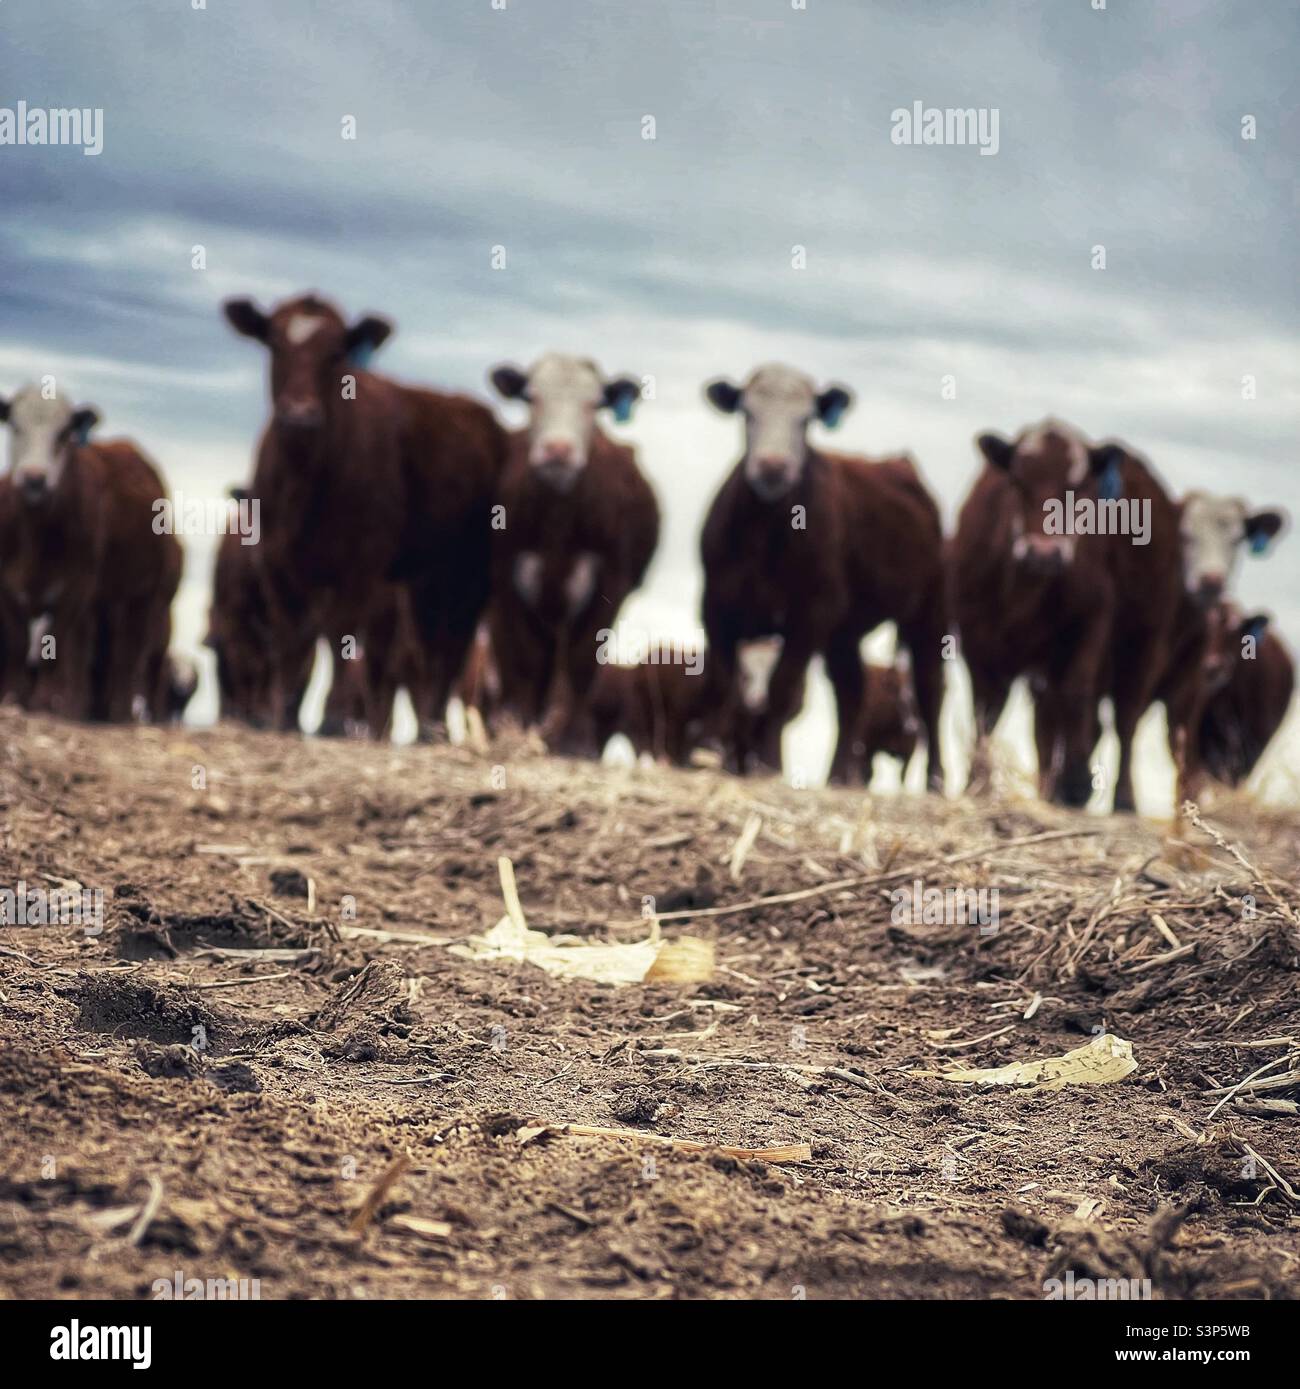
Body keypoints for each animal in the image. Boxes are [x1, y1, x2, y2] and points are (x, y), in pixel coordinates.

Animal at [0, 386, 182, 723]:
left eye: (63, 434)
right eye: (15, 426)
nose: (34, 478)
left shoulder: (76, 589)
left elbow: (56, 649)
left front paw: (45, 705)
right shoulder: (8, 587)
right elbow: (19, 643)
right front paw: (12, 699)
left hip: (140, 600)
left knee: (126, 659)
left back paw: (117, 714)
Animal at [222, 292, 507, 739]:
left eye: (336, 353)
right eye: (274, 344)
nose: (299, 414)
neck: (306, 480)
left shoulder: (361, 565)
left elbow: (341, 635)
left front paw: (333, 719)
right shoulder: (277, 562)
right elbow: (292, 641)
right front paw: (283, 717)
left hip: (469, 574)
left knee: (452, 644)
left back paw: (432, 725)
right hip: (425, 578)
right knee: (429, 641)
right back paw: (428, 725)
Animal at [486, 354, 660, 753]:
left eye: (593, 403)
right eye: (532, 397)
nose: (559, 450)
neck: (558, 523)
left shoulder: (608, 580)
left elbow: (582, 661)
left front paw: (574, 743)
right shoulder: (507, 579)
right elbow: (523, 659)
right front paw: (519, 729)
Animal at [700, 364, 946, 788]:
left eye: (805, 420)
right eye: (747, 414)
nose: (772, 466)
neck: (763, 537)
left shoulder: (811, 613)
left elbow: (782, 686)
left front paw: (769, 766)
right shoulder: (717, 608)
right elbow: (728, 687)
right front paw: (725, 761)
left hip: (927, 616)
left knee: (930, 691)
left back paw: (935, 780)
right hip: (844, 632)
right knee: (852, 693)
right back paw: (837, 777)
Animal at [952, 422, 1182, 810]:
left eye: (1079, 491)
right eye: (1017, 480)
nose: (1044, 553)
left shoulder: (1091, 621)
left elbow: (1077, 694)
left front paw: (1076, 784)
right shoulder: (976, 640)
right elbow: (986, 710)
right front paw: (976, 783)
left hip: (1143, 643)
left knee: (1125, 719)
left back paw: (1121, 797)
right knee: (1050, 721)